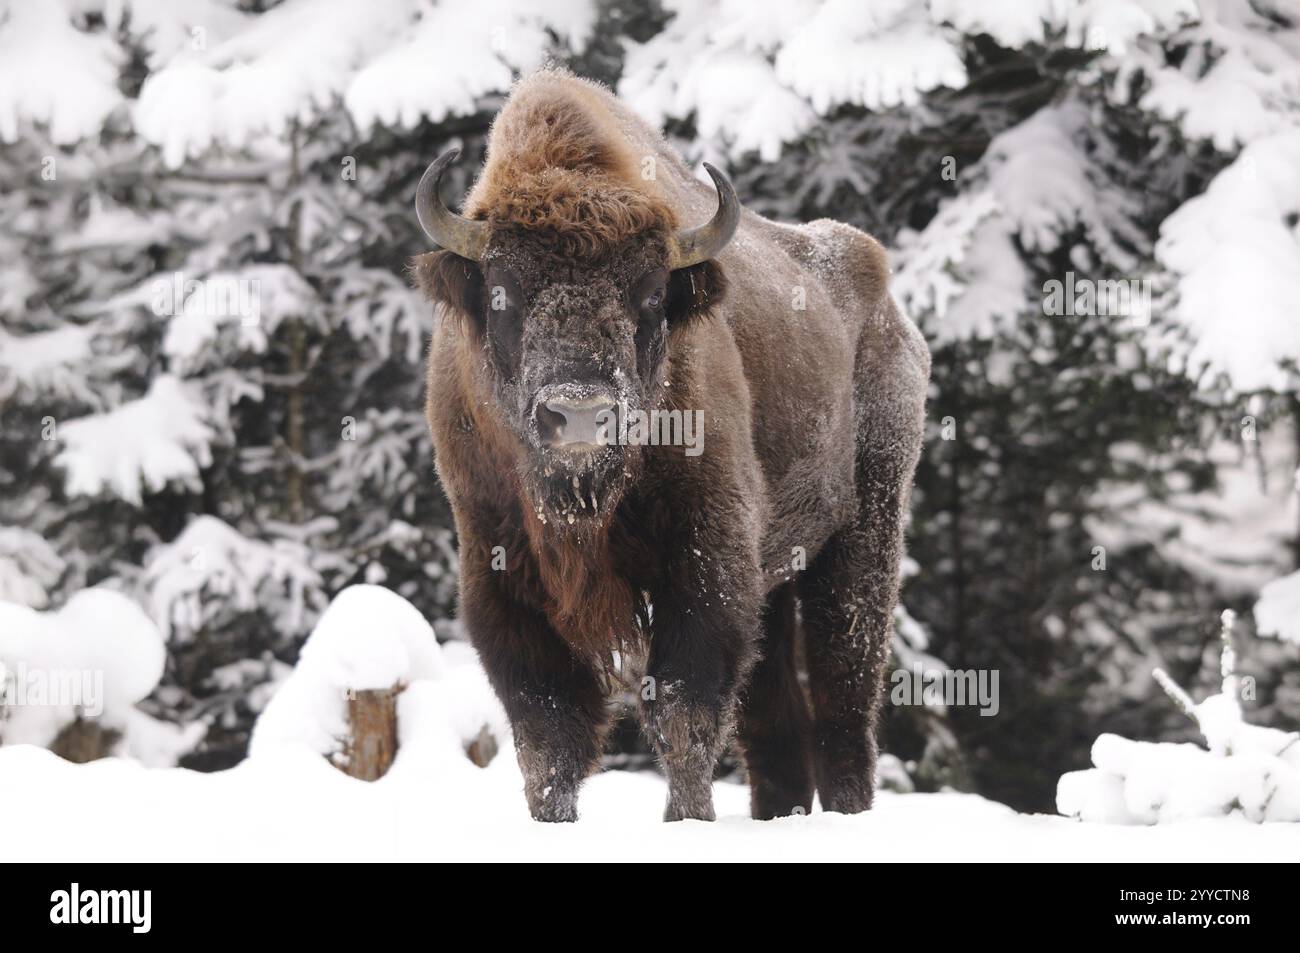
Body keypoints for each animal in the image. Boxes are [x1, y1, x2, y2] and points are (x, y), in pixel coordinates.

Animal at [413, 70, 929, 822]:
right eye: (503, 289)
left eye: (652, 294)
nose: (579, 413)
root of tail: (886, 306)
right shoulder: (498, 566)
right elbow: (547, 732)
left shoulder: (704, 558)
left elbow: (682, 710)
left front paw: (687, 820)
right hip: (776, 577)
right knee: (777, 721)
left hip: (865, 533)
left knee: (844, 698)